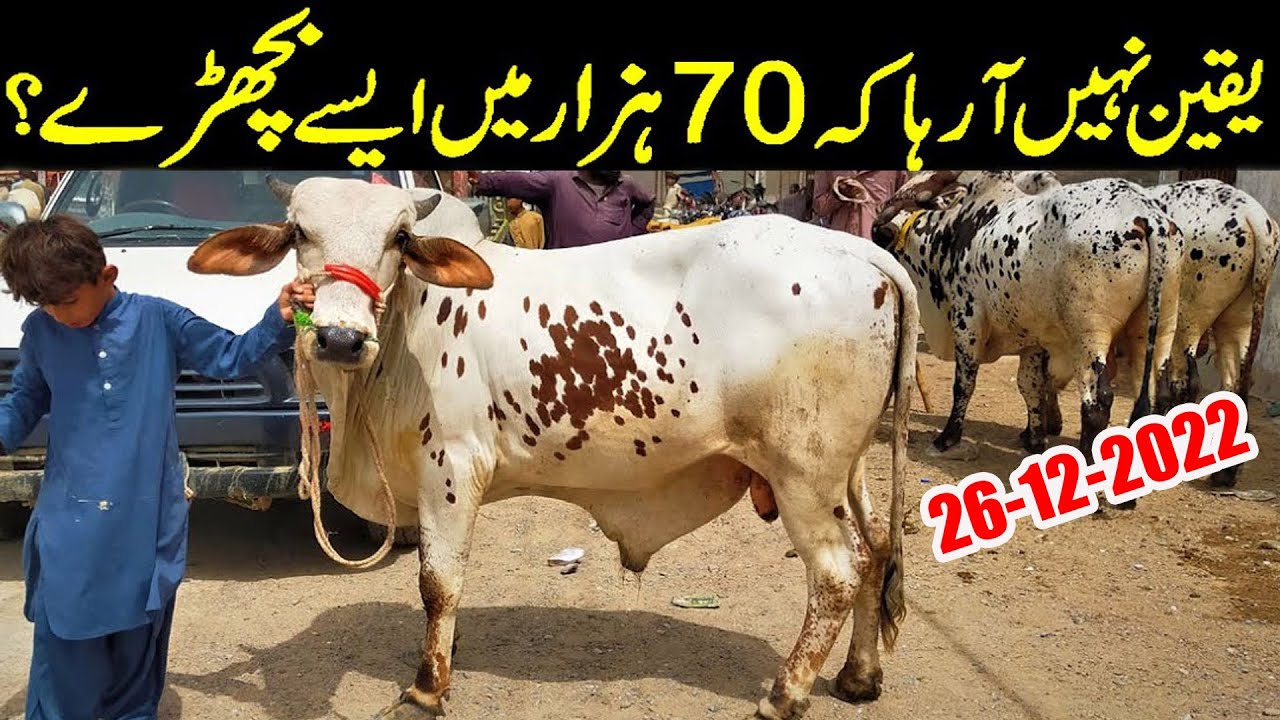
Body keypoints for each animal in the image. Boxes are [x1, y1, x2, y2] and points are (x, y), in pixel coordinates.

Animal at [186, 176, 921, 720]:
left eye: (398, 237)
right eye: (299, 234)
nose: (339, 338)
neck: (407, 326)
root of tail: (867, 253)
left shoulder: (451, 468)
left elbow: (437, 581)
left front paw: (427, 686)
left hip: (804, 472)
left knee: (837, 573)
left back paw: (786, 694)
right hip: (847, 471)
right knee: (878, 547)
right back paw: (859, 676)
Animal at [868, 170, 1183, 511]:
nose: (876, 231)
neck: (962, 223)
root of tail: (1145, 215)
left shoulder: (968, 320)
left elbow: (964, 386)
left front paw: (947, 439)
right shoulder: (1033, 341)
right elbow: (1029, 386)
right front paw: (1034, 438)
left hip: (1090, 334)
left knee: (1097, 403)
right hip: (1157, 329)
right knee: (1150, 399)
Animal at [1014, 170, 1280, 488]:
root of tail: (1252, 213)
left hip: (1188, 317)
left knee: (1189, 382)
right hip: (1236, 320)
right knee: (1235, 384)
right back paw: (1224, 473)